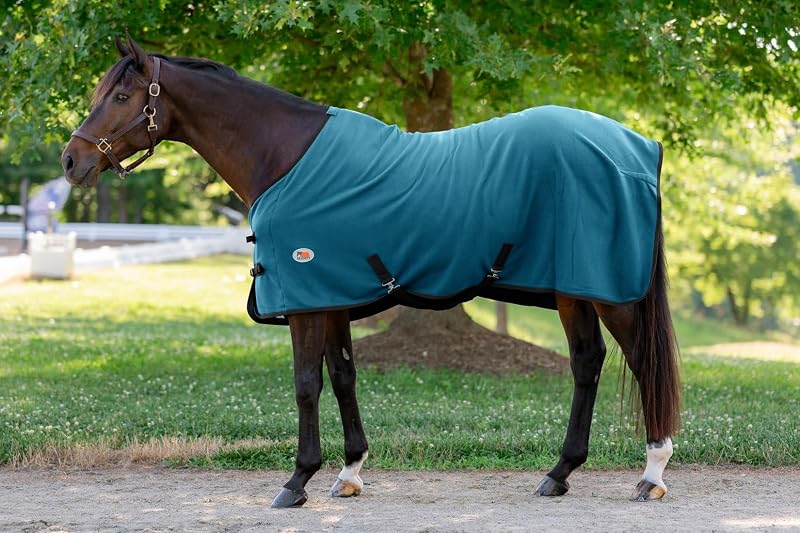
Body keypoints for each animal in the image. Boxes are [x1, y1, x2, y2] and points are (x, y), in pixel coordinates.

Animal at [61, 36, 681, 507]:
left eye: (122, 95)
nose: (72, 161)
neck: (284, 156)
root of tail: (639, 146)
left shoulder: (305, 301)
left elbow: (306, 385)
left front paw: (297, 480)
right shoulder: (331, 296)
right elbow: (342, 378)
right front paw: (349, 473)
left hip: (612, 295)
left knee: (640, 362)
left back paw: (651, 474)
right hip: (574, 290)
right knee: (587, 363)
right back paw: (559, 473)